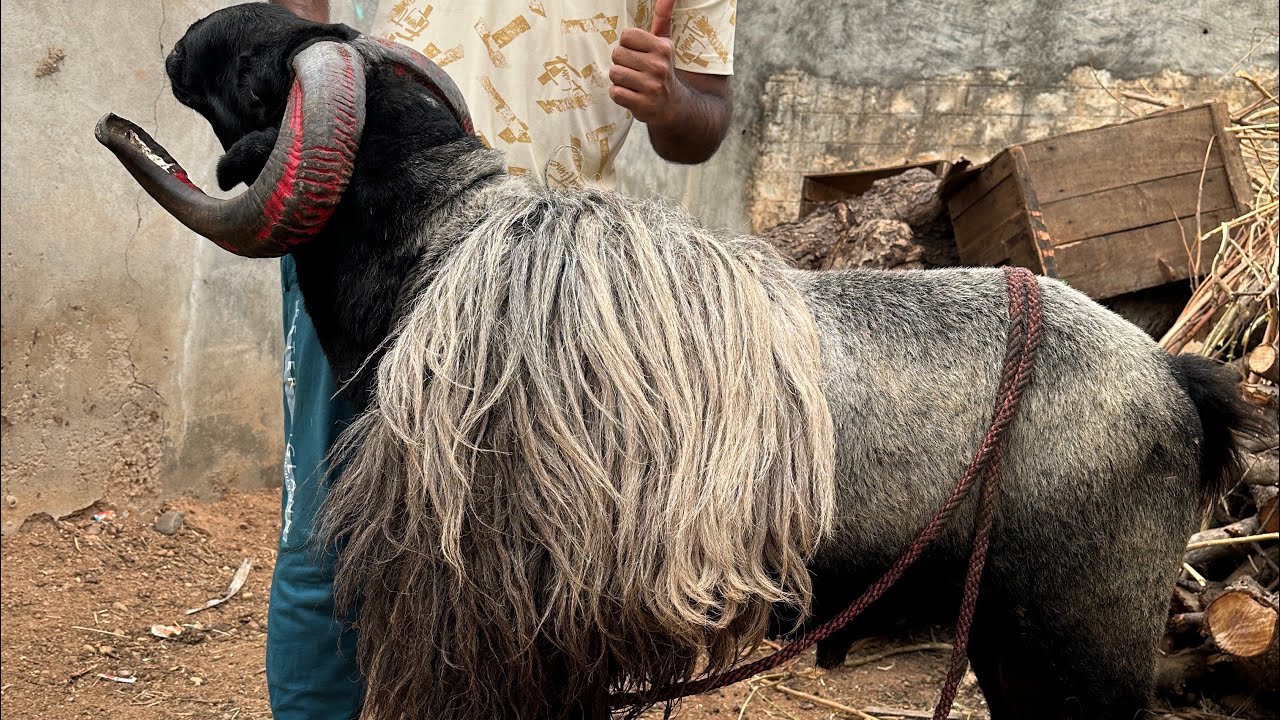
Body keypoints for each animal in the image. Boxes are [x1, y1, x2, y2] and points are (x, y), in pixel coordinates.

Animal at [97, 5, 1252, 719]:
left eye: (258, 76)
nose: (184, 42)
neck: (442, 245)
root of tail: (1177, 381)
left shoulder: (497, 635)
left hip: (1079, 643)